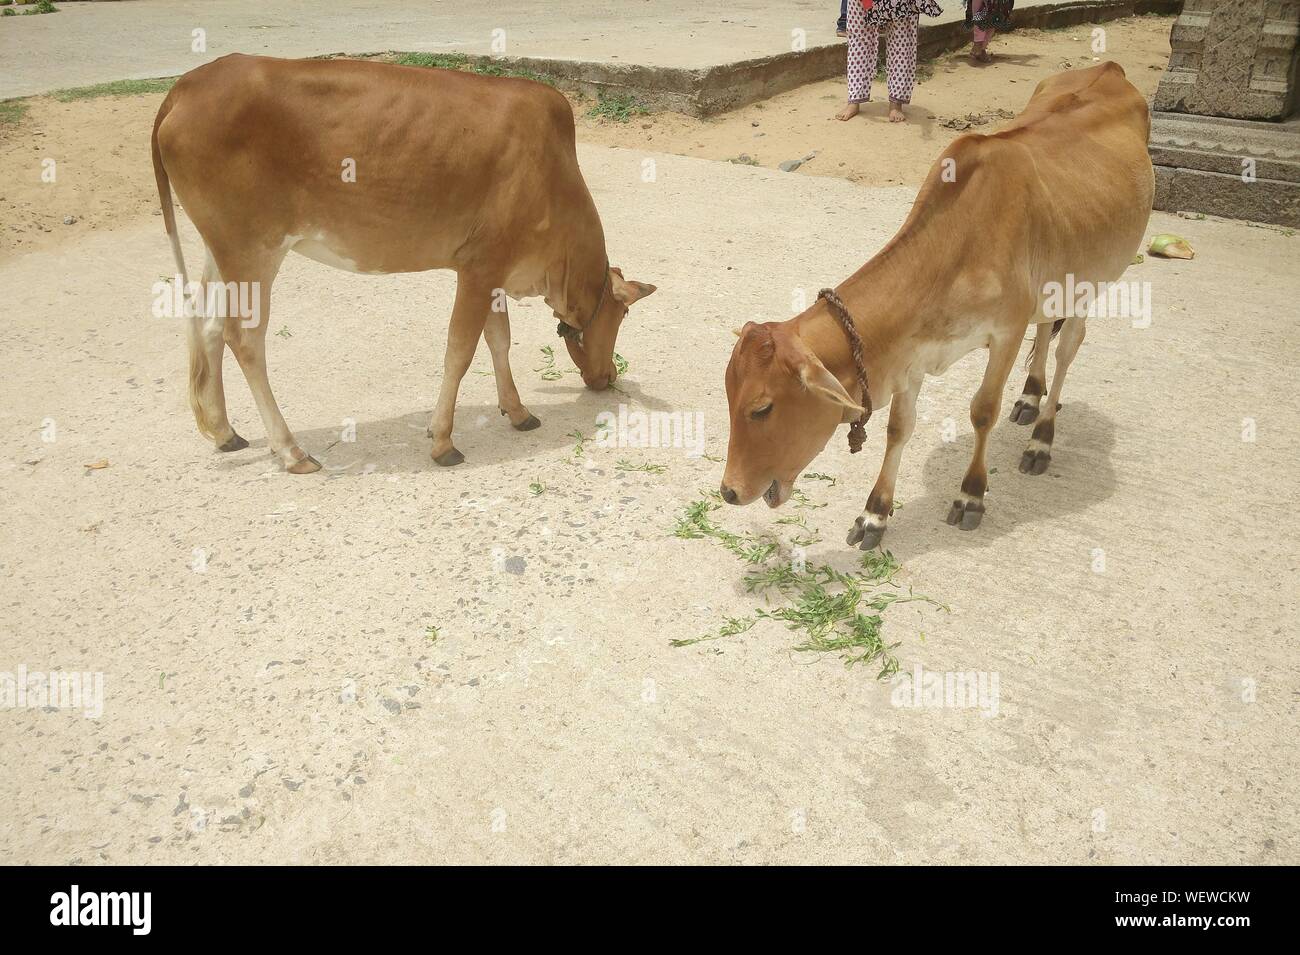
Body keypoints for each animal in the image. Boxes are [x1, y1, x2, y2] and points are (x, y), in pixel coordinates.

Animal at [151, 54, 656, 473]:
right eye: (622, 315)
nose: (608, 377)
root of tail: (190, 83)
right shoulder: (480, 268)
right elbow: (460, 350)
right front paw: (443, 440)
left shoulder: (492, 271)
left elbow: (499, 342)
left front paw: (517, 412)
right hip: (252, 250)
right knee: (244, 340)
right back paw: (292, 451)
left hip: (222, 250)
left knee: (207, 326)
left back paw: (224, 432)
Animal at [720, 63, 1153, 548]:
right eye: (728, 395)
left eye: (762, 408)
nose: (729, 491)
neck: (956, 248)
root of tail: (1109, 68)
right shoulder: (912, 357)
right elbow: (898, 428)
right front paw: (874, 515)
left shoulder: (1006, 332)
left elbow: (983, 412)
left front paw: (971, 496)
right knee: (1047, 333)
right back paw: (1029, 396)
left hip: (1091, 281)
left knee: (1067, 348)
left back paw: (1042, 436)